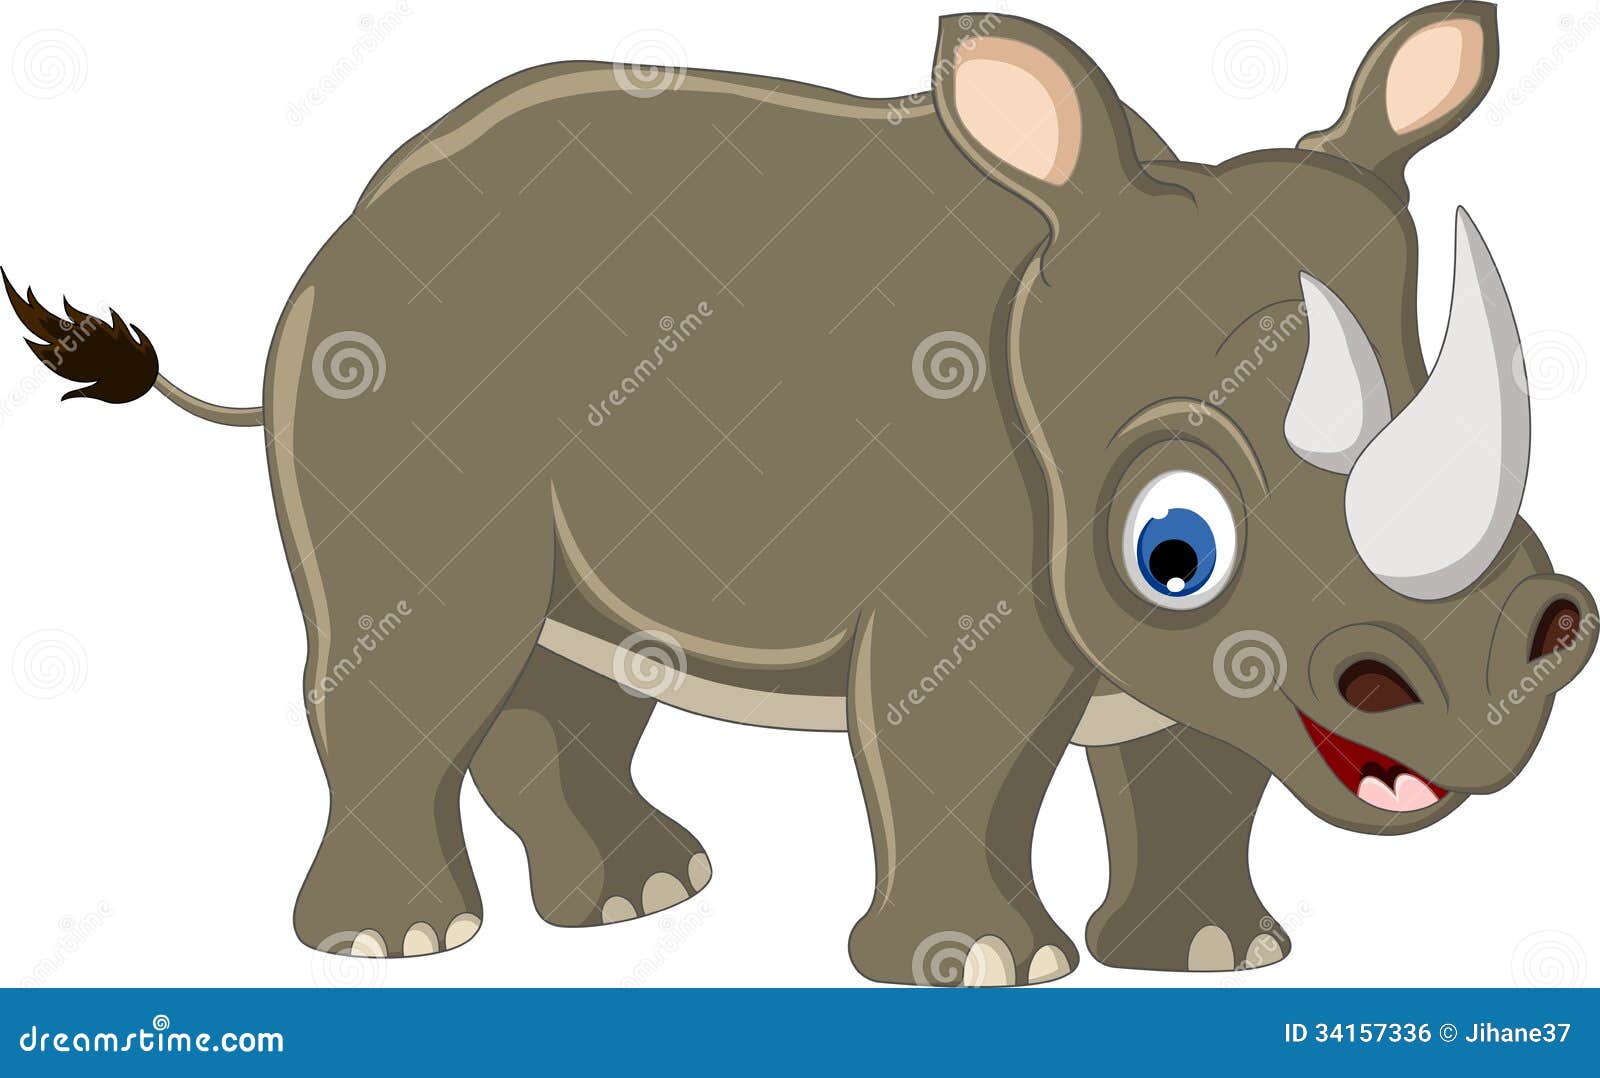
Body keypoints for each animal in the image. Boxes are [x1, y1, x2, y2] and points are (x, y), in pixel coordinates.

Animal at [7, 3, 1593, 986]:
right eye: (1174, 547)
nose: (1503, 671)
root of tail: (343, 230)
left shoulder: (1215, 671)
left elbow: (1203, 765)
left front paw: (1211, 958)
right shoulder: (969, 583)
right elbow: (957, 748)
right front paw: (987, 971)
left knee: (580, 651)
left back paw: (641, 898)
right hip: (398, 360)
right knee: (436, 636)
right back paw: (400, 948)